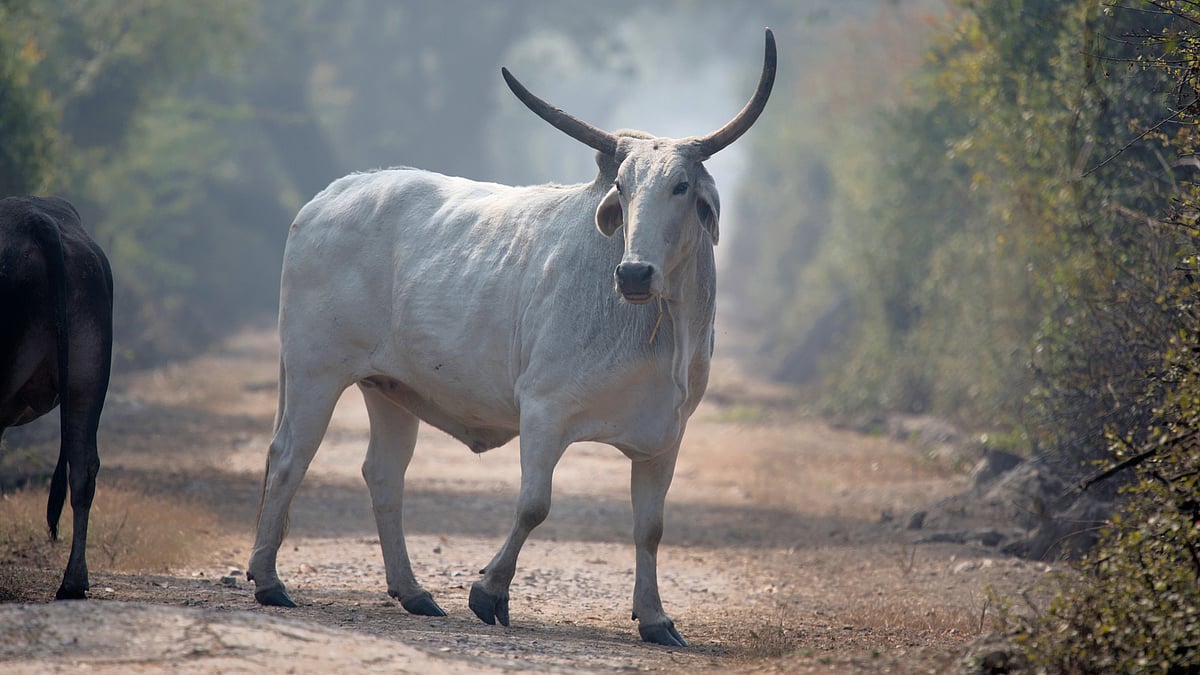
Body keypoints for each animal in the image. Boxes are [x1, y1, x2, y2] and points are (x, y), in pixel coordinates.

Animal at [248, 29, 776, 646]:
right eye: (622, 187)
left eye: (682, 185)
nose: (634, 273)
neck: (656, 329)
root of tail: (327, 198)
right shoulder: (545, 410)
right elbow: (533, 505)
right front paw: (488, 592)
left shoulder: (666, 434)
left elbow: (650, 527)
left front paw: (655, 618)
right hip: (315, 370)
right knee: (289, 456)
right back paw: (268, 580)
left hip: (388, 389)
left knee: (383, 475)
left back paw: (413, 592)